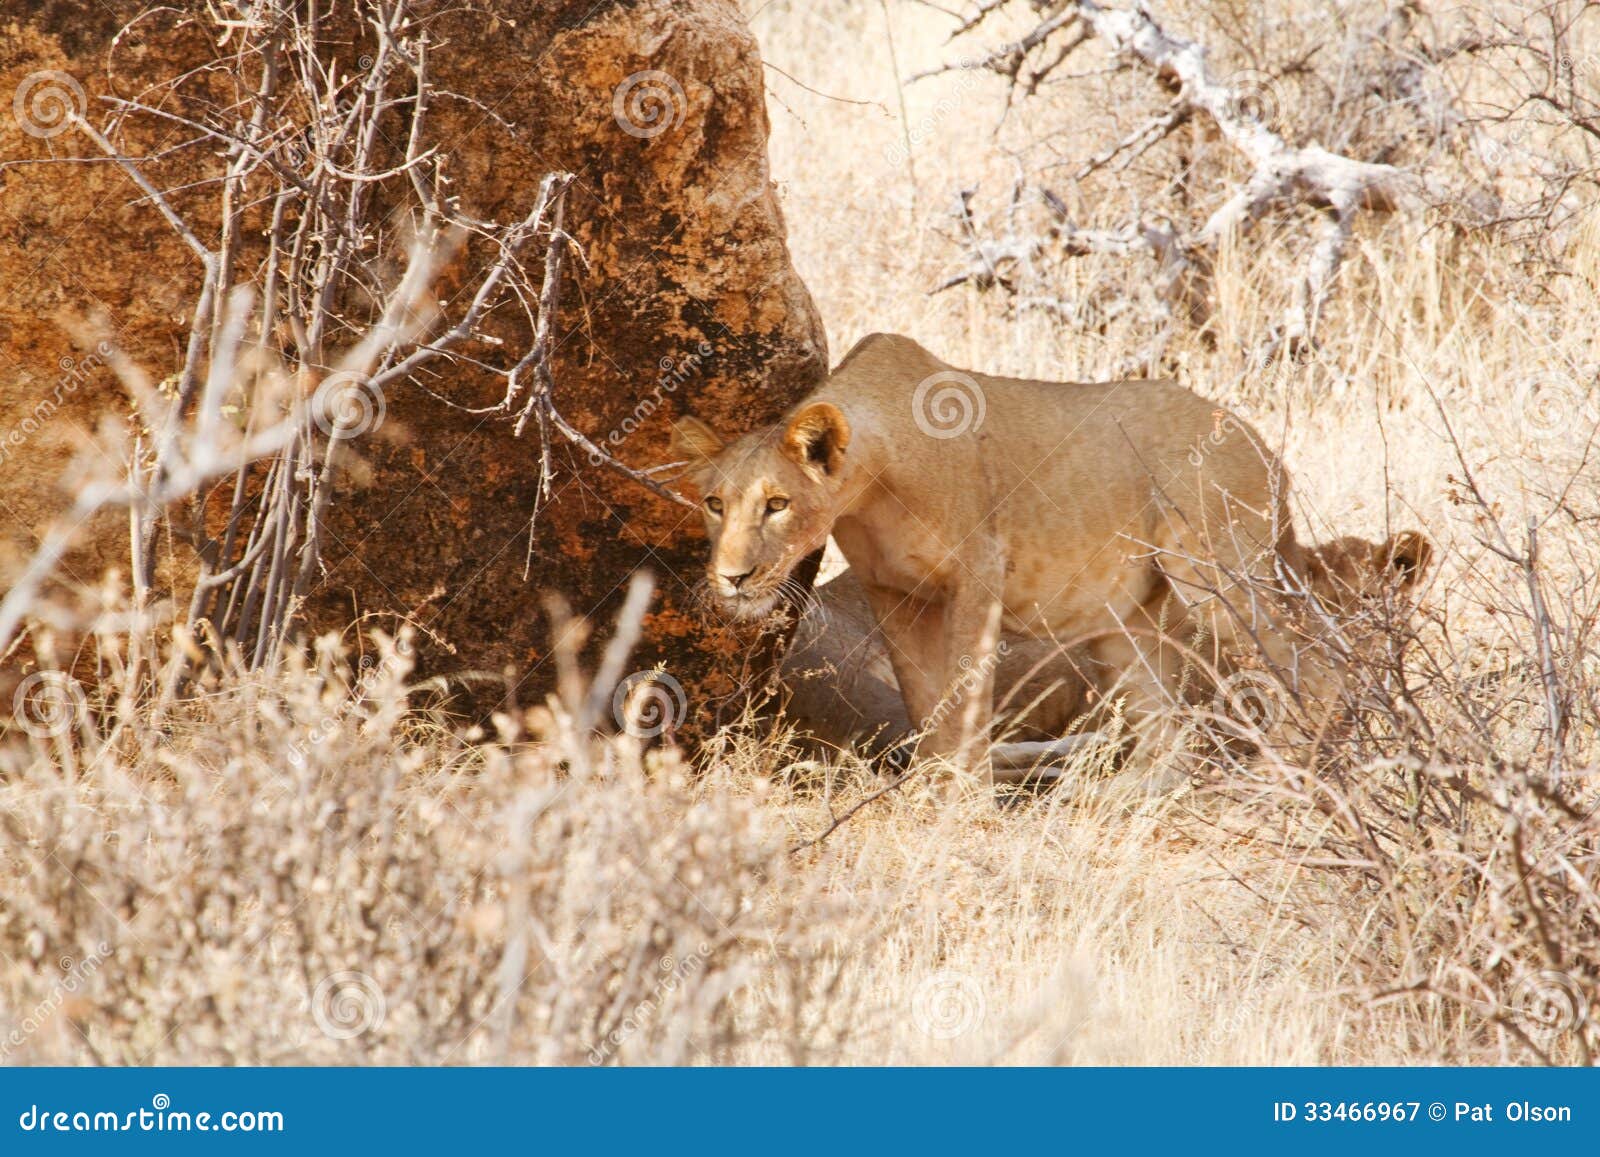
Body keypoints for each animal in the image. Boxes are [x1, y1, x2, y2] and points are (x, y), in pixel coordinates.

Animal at [672, 332, 1430, 788]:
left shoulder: (978, 578)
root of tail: (1263, 447)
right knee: (1167, 741)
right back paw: (1115, 793)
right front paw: (935, 790)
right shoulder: (894, 595)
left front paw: (960, 798)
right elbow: (927, 706)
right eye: (714, 503)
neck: (876, 472)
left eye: (776, 504)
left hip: (1218, 575)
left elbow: (963, 701)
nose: (732, 576)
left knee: (1319, 669)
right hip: (1130, 622)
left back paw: (1276, 779)